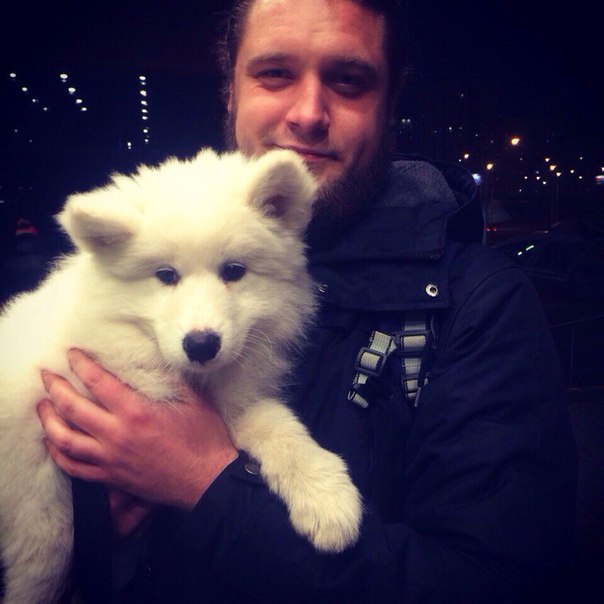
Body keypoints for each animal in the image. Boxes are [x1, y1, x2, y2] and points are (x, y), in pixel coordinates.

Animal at [0, 149, 362, 603]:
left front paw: (326, 495)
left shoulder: (231, 399)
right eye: (166, 275)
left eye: (234, 271)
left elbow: (276, 424)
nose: (202, 345)